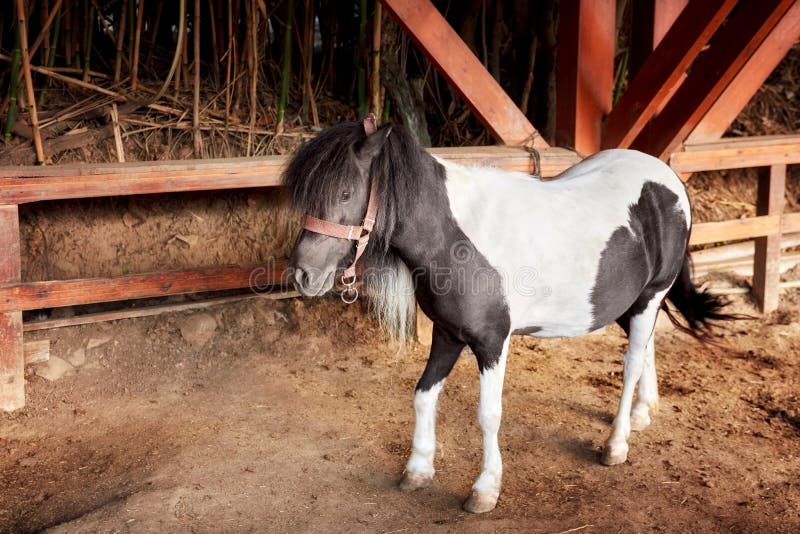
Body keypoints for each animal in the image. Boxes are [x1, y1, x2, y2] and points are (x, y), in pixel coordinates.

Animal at [284, 117, 735, 514]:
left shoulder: (491, 342)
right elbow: (423, 395)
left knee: (632, 363)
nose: (304, 274)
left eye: (345, 193)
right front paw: (418, 469)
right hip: (630, 300)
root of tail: (668, 178)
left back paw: (617, 443)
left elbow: (488, 415)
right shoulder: (446, 334)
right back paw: (644, 411)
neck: (454, 237)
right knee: (648, 348)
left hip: (650, 295)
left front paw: (485, 490)